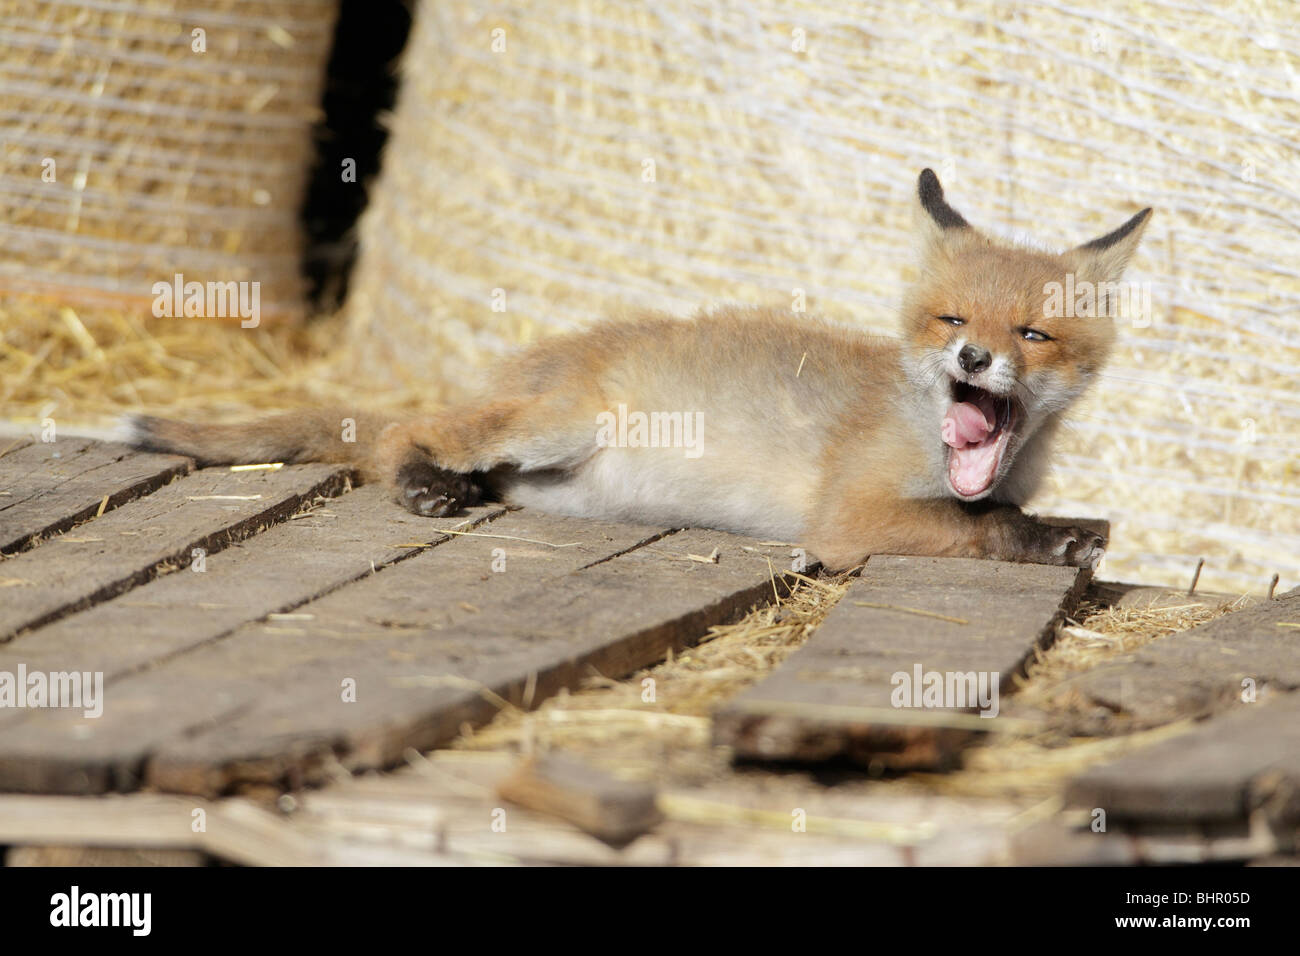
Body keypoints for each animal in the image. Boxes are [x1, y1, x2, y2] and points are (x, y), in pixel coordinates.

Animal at [130, 169, 1151, 571]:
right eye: (952, 320)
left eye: (1032, 334)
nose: (973, 357)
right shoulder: (848, 519)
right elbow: (980, 528)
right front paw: (1053, 539)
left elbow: (999, 515)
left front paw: (1062, 526)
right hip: (558, 421)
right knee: (399, 434)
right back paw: (423, 484)